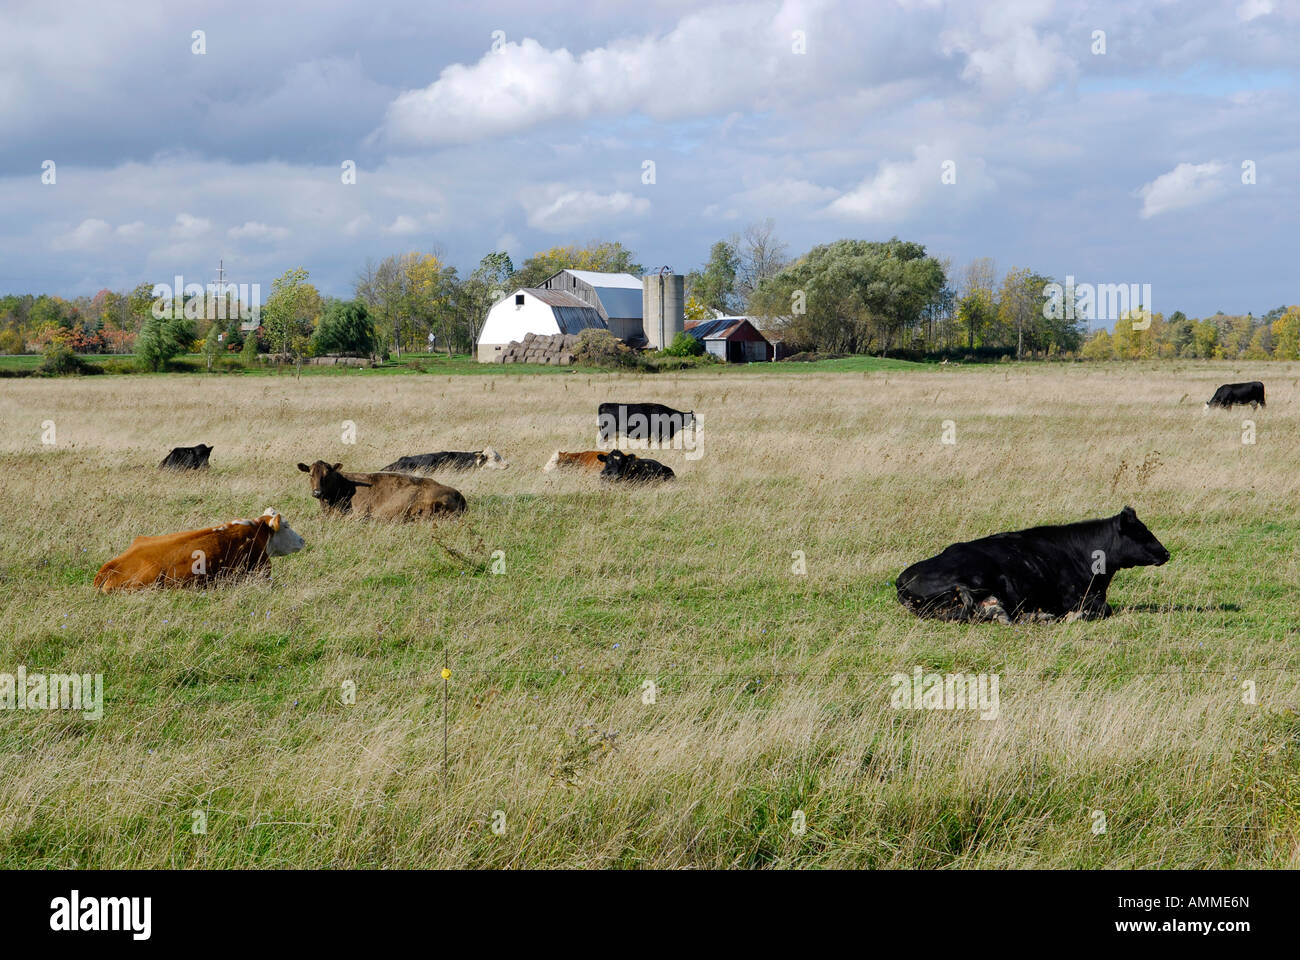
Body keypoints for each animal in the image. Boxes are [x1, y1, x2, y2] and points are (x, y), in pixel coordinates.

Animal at [895, 506, 1170, 624]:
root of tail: (901, 581)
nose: (1166, 553)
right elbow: (1104, 609)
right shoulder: (1076, 597)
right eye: (1142, 532)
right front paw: (1073, 617)